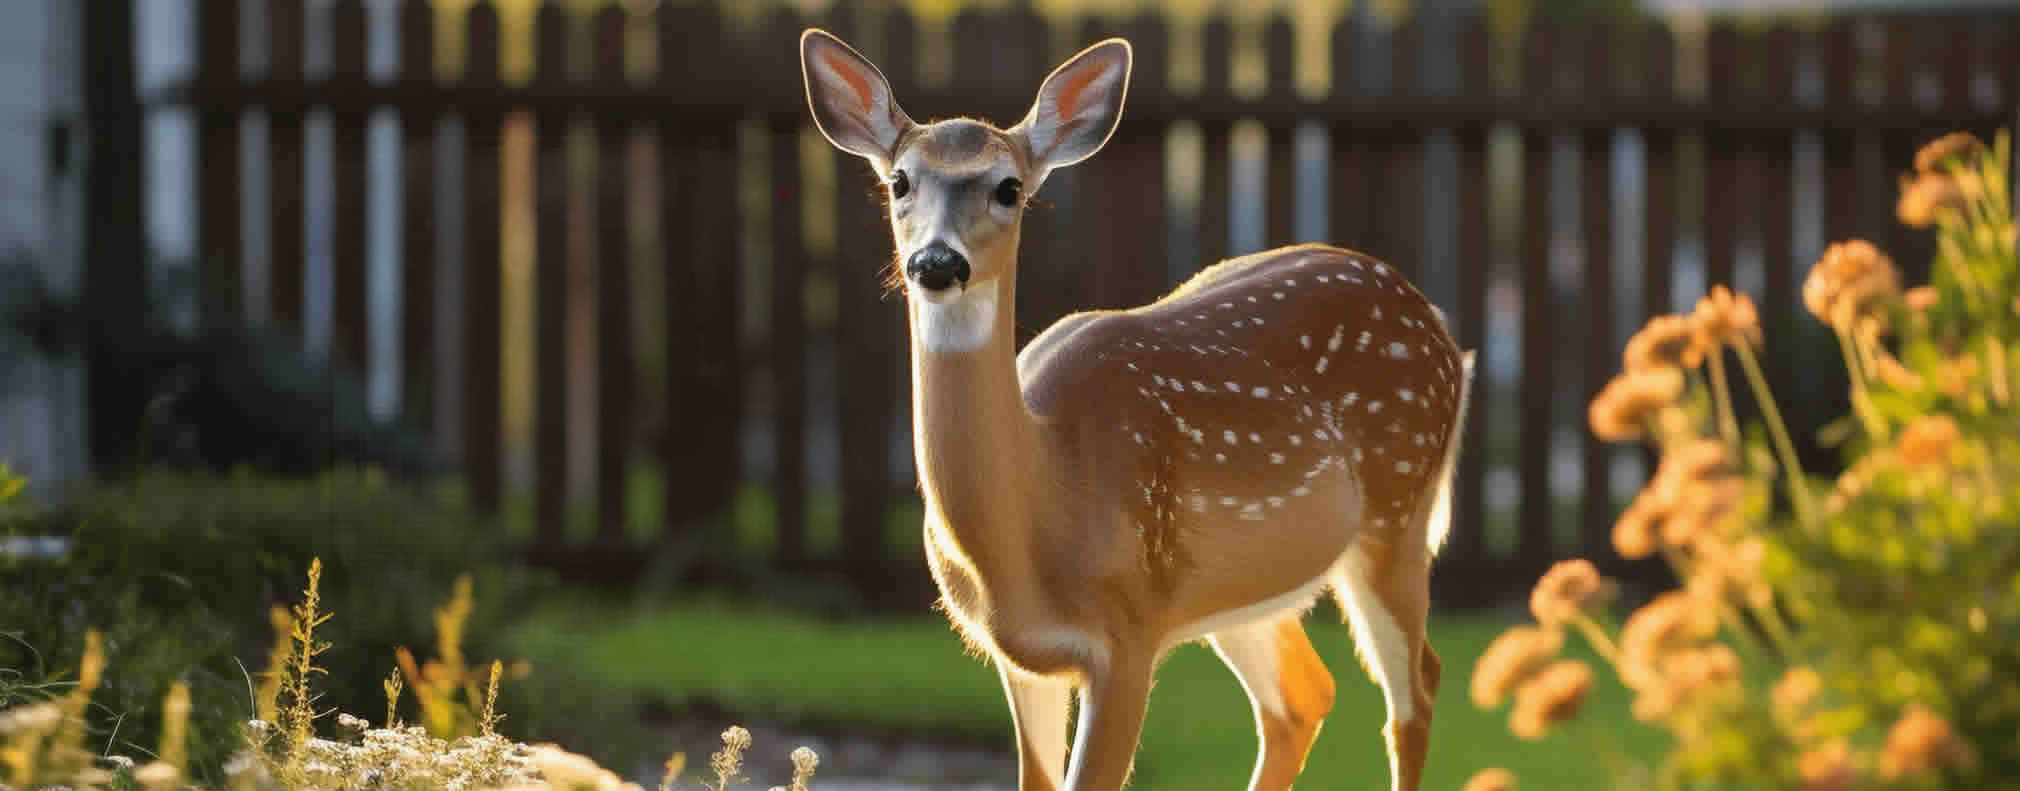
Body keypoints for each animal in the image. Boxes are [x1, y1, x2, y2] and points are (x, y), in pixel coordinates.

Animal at [801, 29, 1474, 791]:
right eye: (900, 181)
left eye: (1009, 188)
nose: (938, 262)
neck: (1040, 503)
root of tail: (1441, 329)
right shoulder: (1019, 659)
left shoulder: (1128, 635)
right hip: (1244, 588)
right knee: (1304, 696)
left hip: (1397, 512)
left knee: (1415, 689)